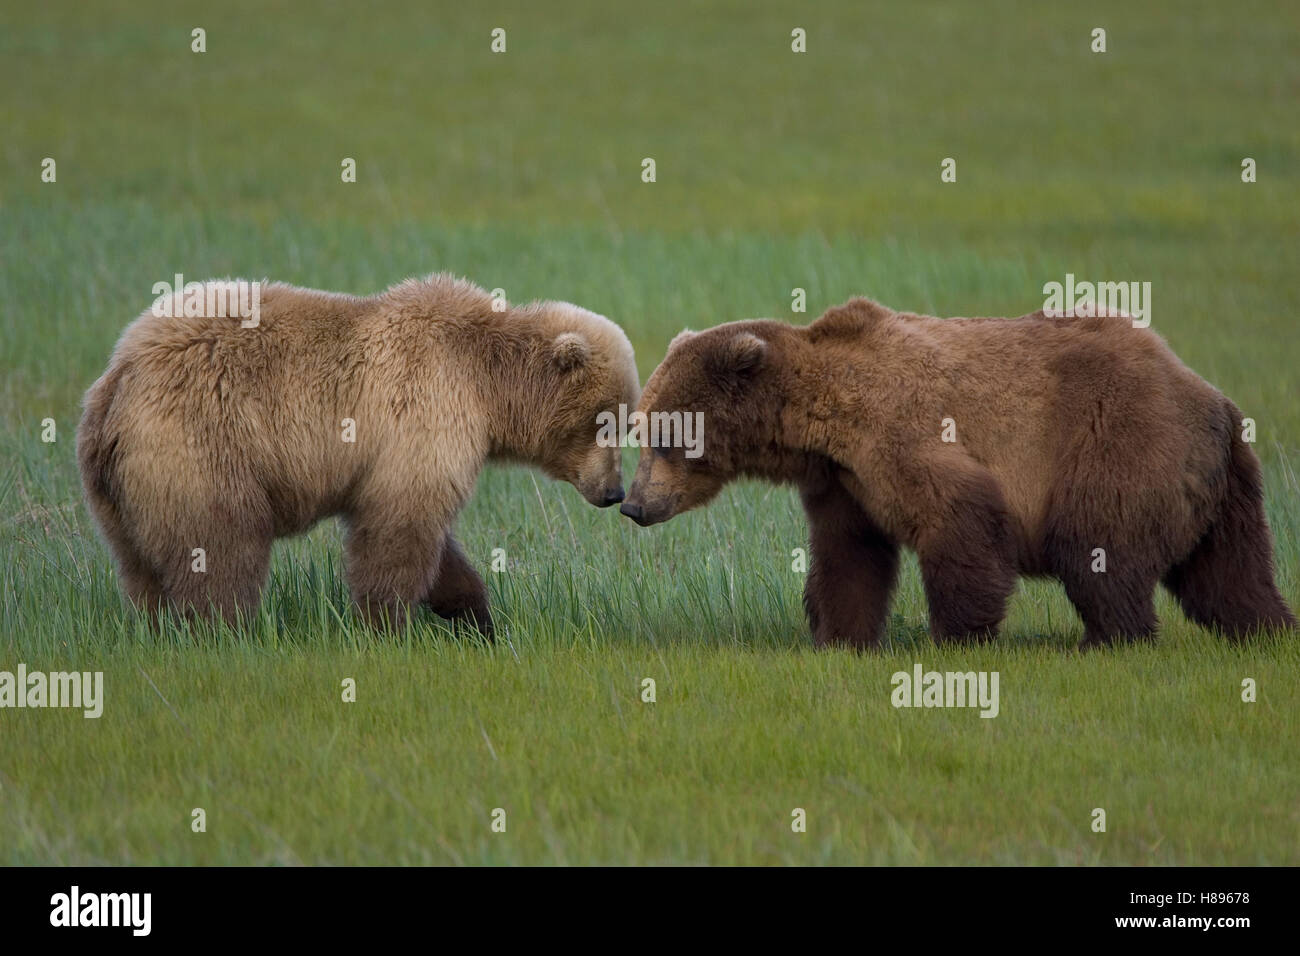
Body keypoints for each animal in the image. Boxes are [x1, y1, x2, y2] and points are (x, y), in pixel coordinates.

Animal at [77, 273, 640, 634]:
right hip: (201, 446)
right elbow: (399, 528)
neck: (487, 383)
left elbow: (435, 544)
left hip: (118, 487)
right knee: (219, 543)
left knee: (139, 564)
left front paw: (476, 619)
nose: (614, 492)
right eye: (602, 423)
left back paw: (159, 627)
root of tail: (118, 377)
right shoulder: (426, 404)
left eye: (625, 422)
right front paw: (386, 625)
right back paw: (223, 630)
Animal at [620, 297, 1295, 649]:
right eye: (641, 430)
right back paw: (1267, 629)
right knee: (1230, 569)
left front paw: (958, 634)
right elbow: (849, 555)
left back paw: (1109, 638)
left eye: (663, 437)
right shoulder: (844, 481)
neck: (819, 417)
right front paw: (840, 635)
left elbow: (960, 519)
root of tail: (1211, 397)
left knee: (1097, 547)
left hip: (1119, 442)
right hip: (1220, 483)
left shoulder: (900, 433)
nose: (633, 504)